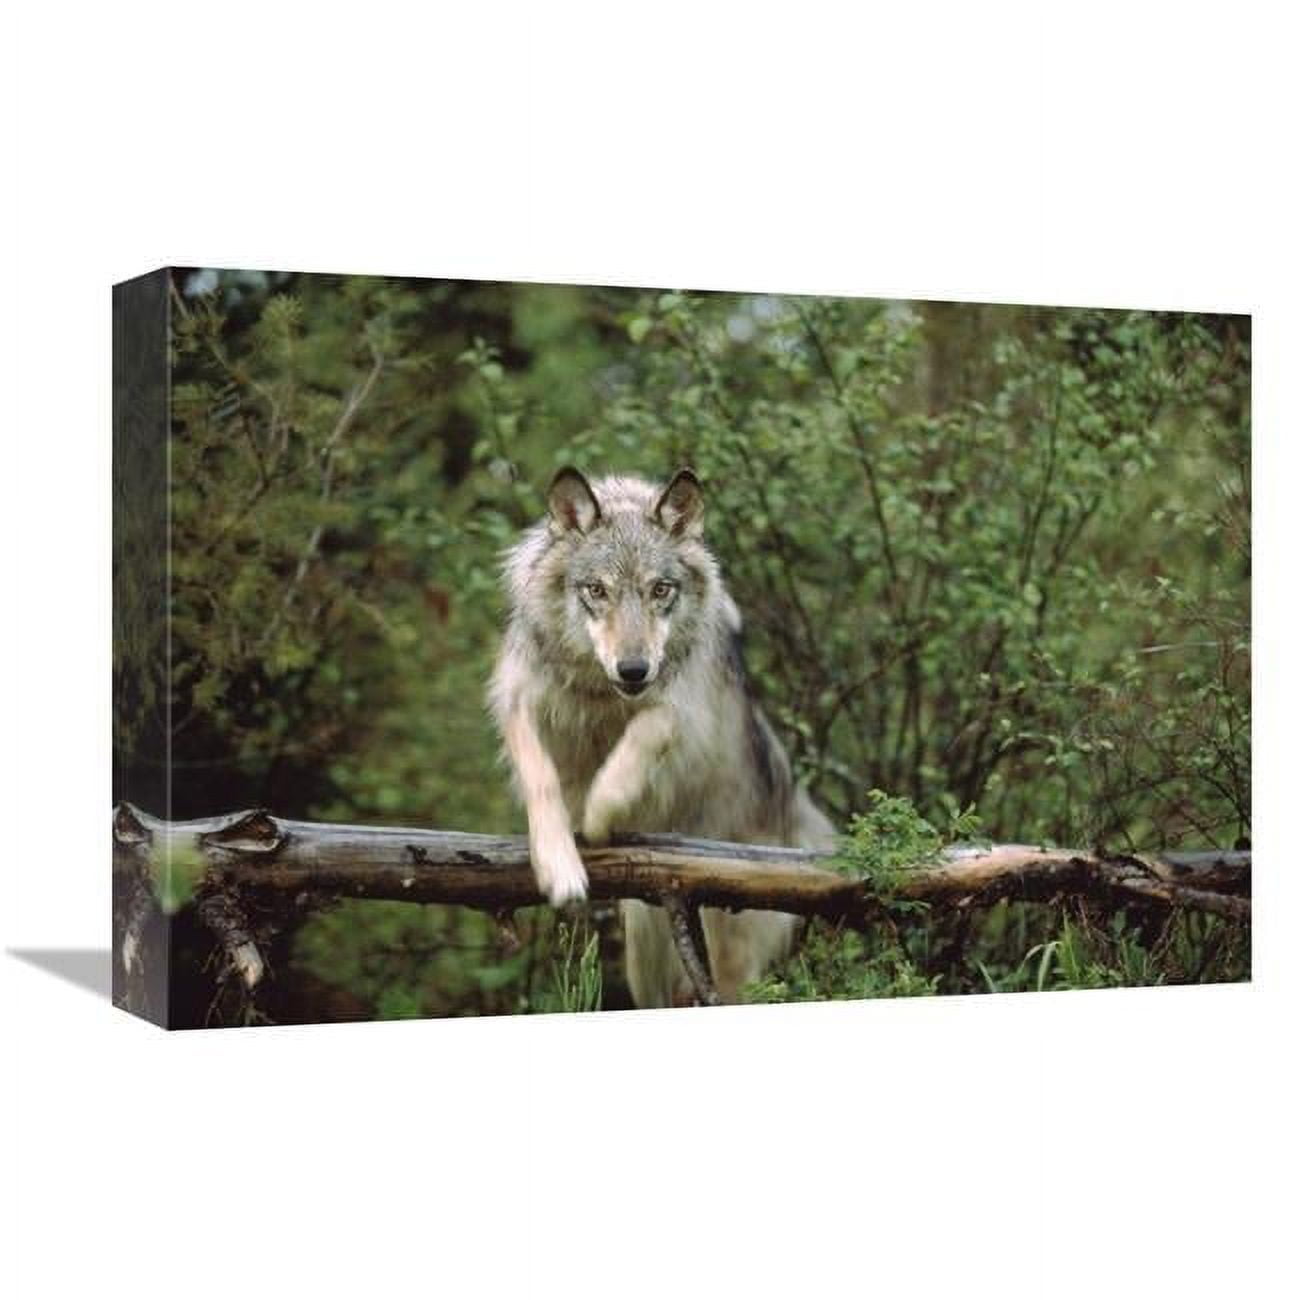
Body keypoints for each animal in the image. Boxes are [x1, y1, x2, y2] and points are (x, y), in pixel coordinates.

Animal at [489, 466, 835, 1006]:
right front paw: (558, 865)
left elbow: (640, 742)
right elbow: (541, 779)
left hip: (728, 951)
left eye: (660, 590)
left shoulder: (682, 708)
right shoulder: (518, 697)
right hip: (645, 938)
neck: (602, 693)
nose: (633, 669)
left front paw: (597, 815)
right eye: (597, 590)